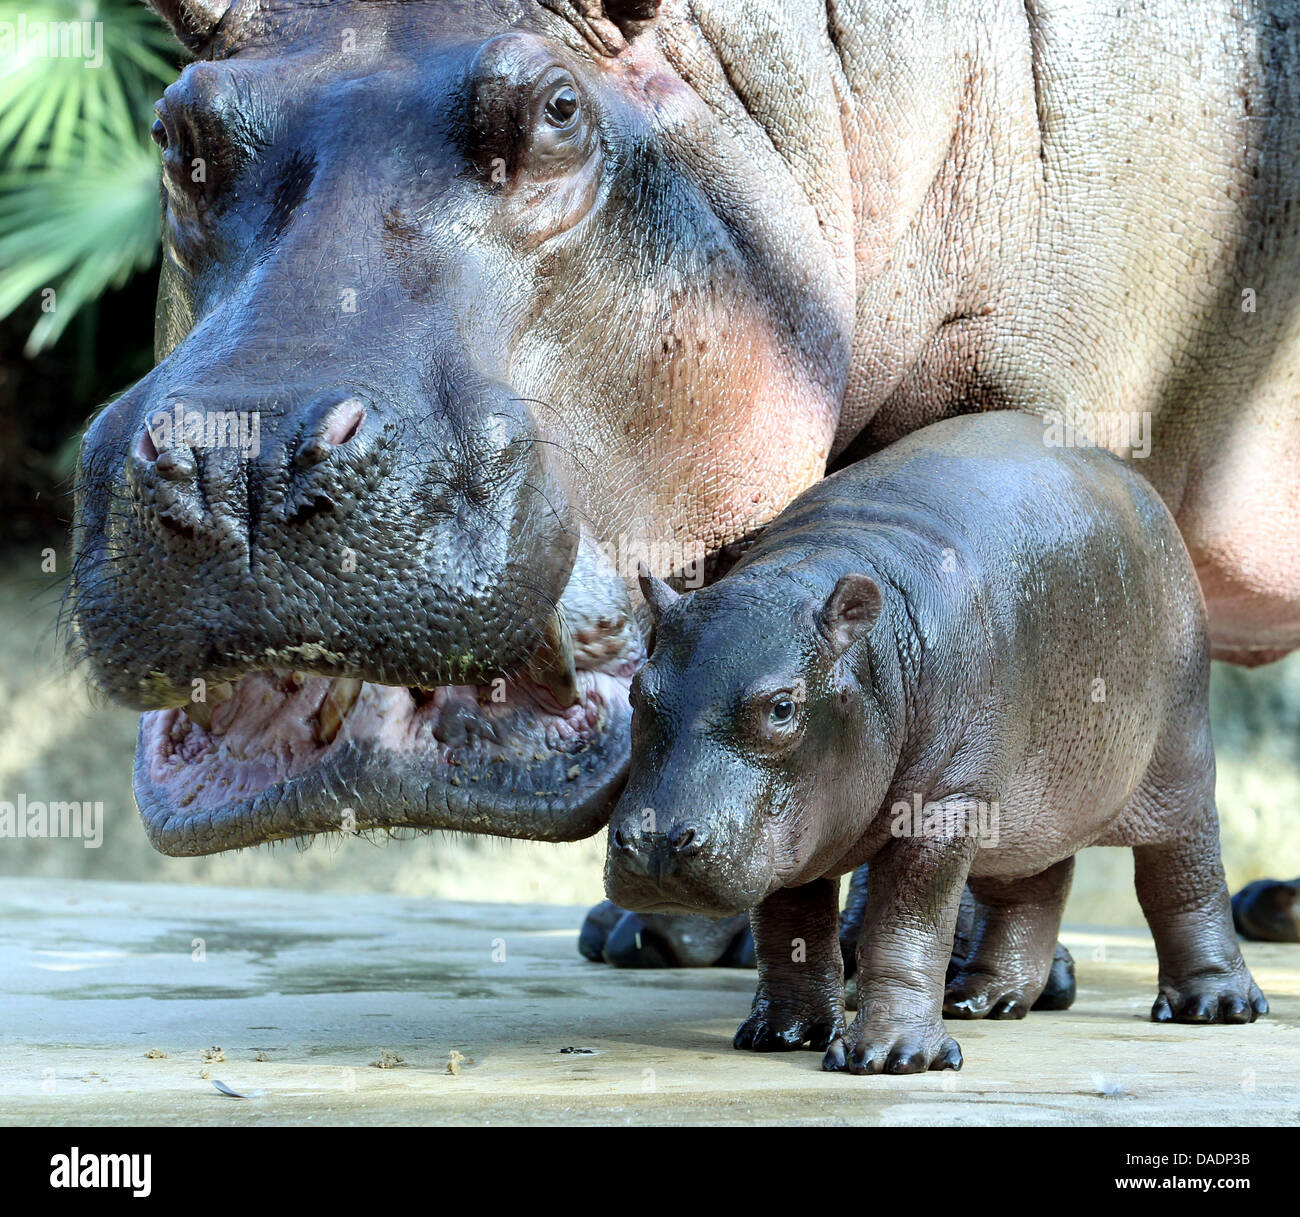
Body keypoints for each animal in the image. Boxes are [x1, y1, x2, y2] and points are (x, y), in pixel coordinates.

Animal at [605, 412, 1268, 1073]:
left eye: (782, 707)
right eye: (638, 691)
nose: (656, 840)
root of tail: (1128, 475)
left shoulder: (945, 805)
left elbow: (906, 924)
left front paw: (891, 1058)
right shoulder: (799, 831)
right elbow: (788, 924)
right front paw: (782, 1035)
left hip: (1177, 751)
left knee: (1183, 873)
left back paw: (1214, 1006)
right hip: (1030, 800)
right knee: (1030, 889)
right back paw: (984, 1000)